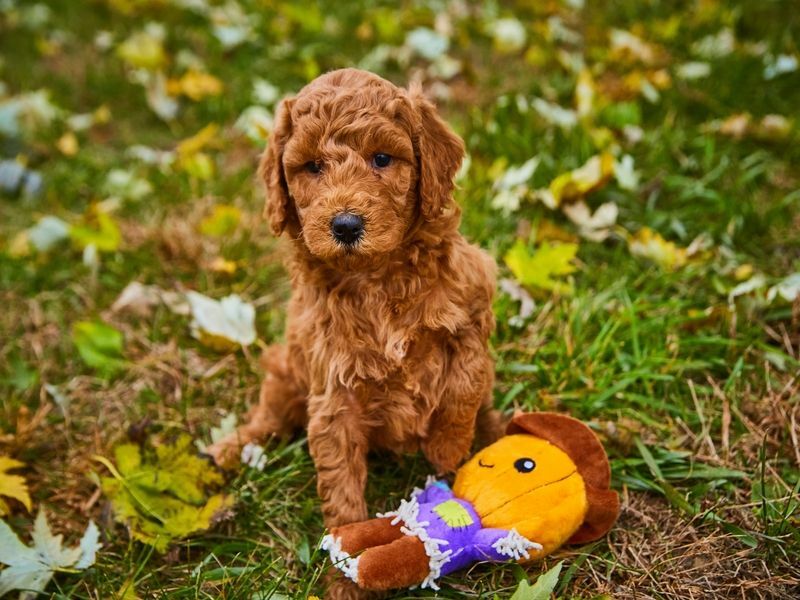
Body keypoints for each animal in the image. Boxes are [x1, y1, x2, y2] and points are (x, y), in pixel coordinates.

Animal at [209, 68, 504, 532]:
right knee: (269, 417)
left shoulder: (471, 309)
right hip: (286, 369)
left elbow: (463, 387)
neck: (376, 278)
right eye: (313, 166)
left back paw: (497, 429)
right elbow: (339, 472)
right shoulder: (333, 386)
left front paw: (449, 448)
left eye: (382, 159)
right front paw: (347, 545)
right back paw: (227, 449)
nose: (346, 225)